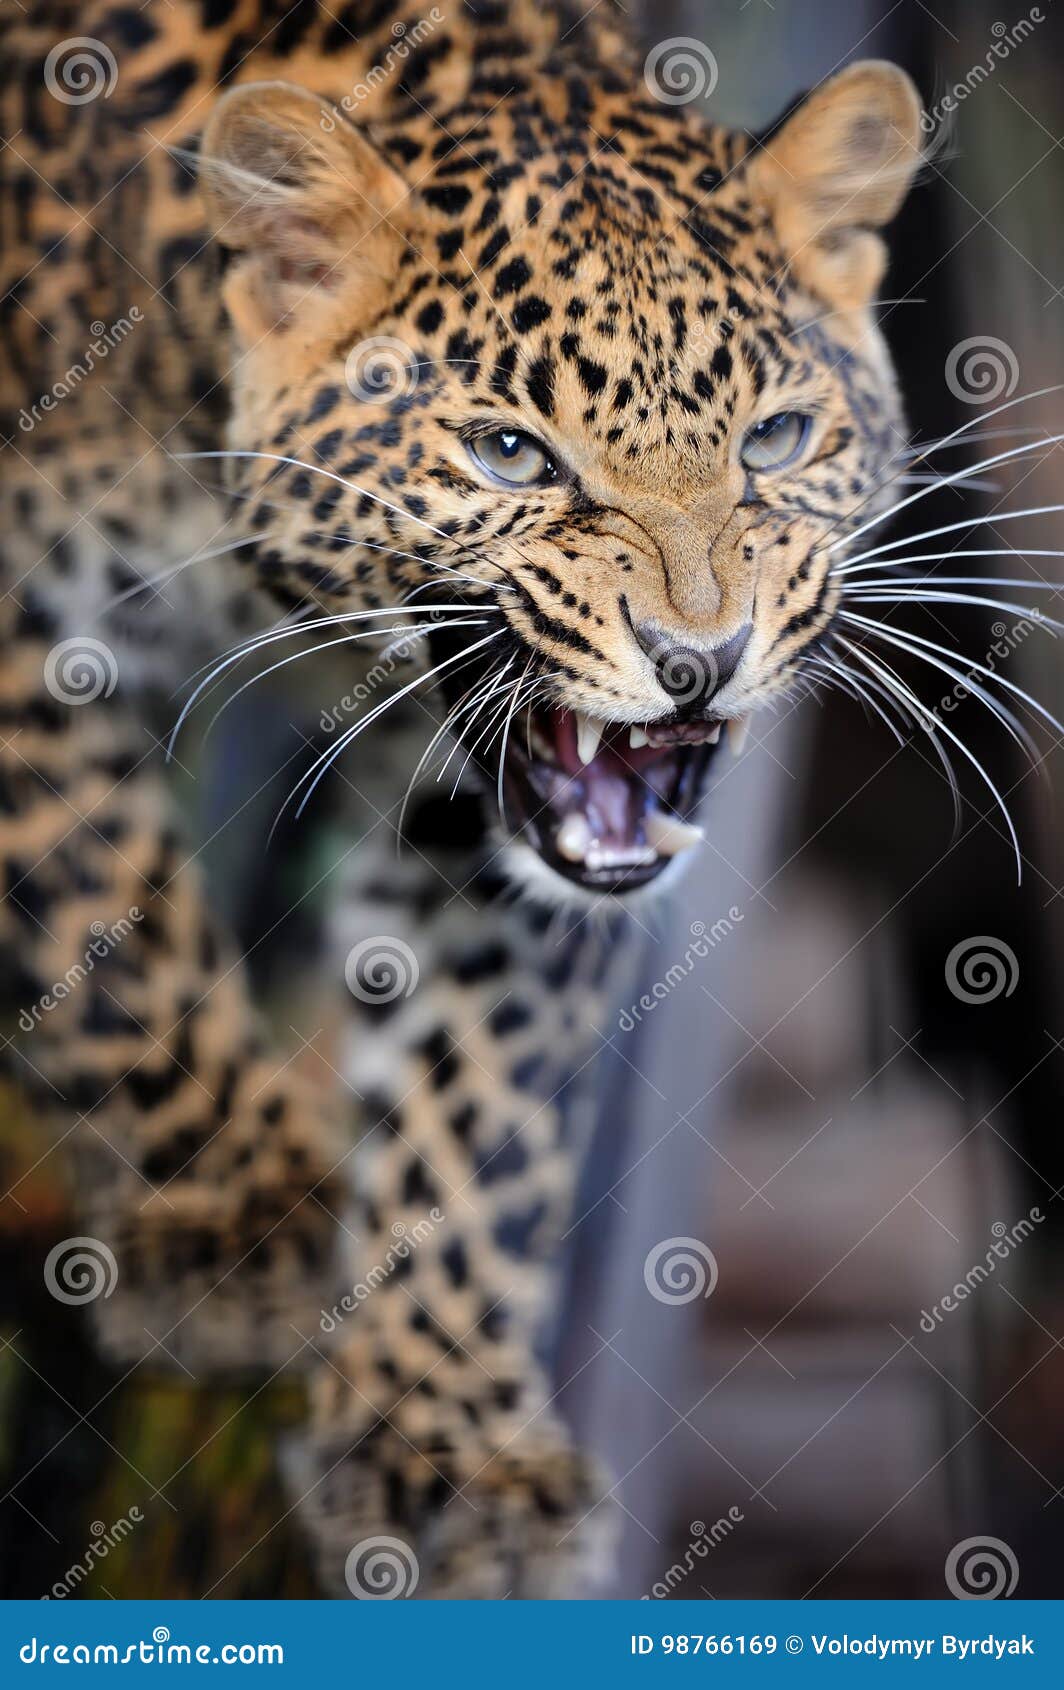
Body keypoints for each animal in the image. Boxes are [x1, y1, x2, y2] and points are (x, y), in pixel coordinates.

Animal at [0, 0, 925, 1598]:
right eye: (509, 454)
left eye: (772, 441)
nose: (698, 660)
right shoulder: (16, 624)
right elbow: (104, 895)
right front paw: (241, 1216)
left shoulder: (484, 821)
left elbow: (479, 1094)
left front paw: (442, 1436)